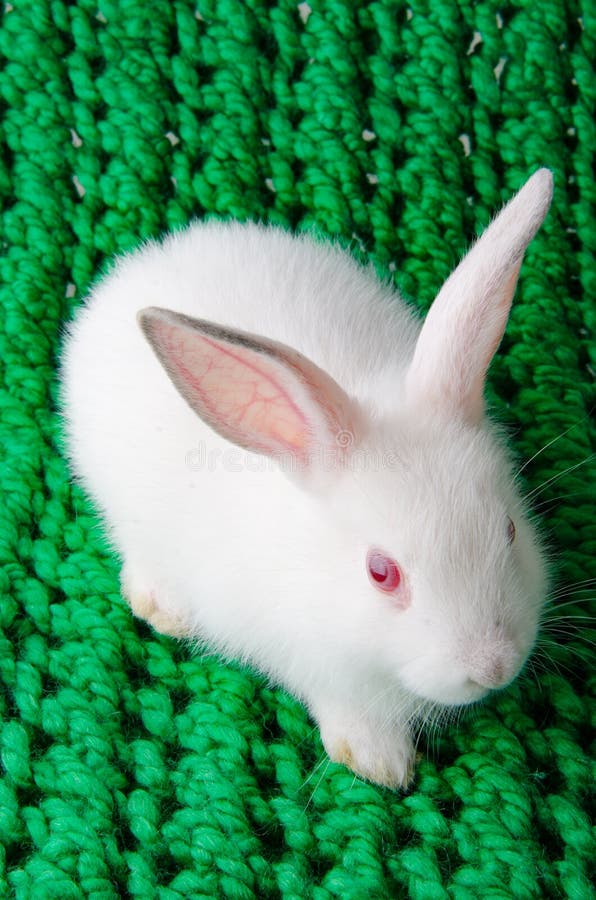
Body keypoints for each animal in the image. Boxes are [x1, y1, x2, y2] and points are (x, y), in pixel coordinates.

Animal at [60, 169, 553, 789]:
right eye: (381, 573)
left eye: (510, 531)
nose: (493, 666)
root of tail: (146, 260)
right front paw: (379, 762)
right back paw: (163, 609)